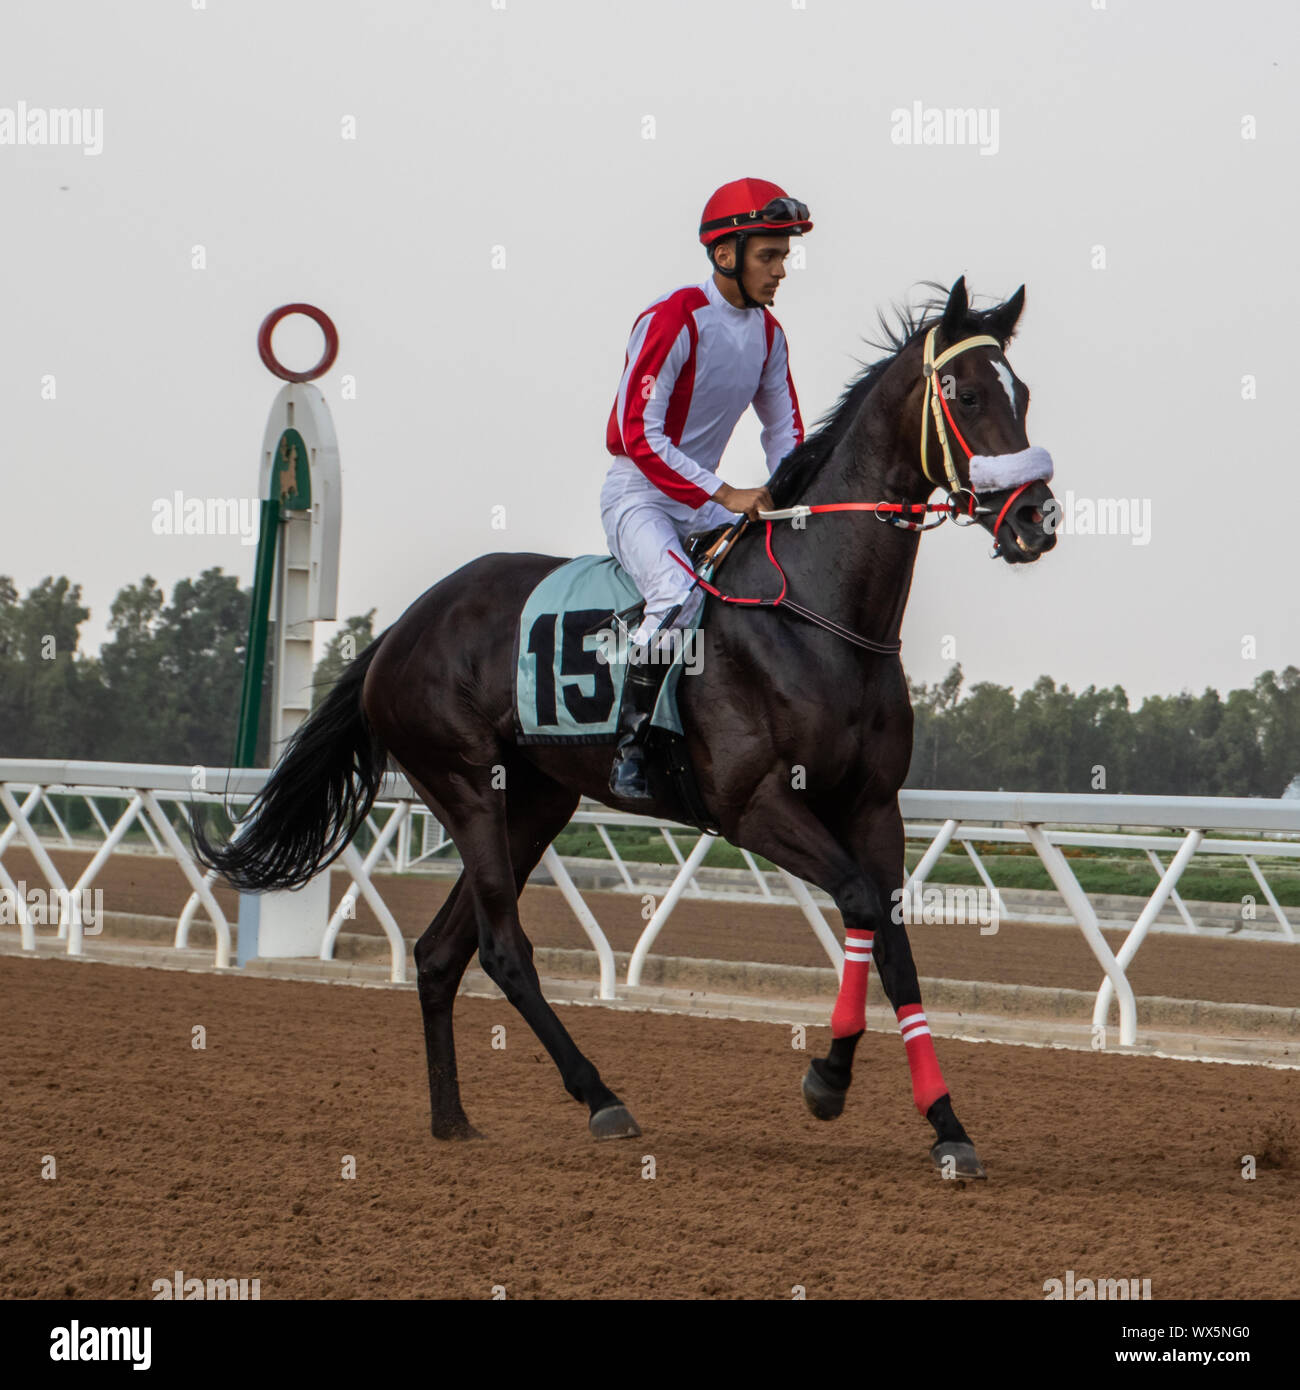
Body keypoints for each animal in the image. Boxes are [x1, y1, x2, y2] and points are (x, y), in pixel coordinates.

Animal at [195, 275, 1058, 1179]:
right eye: (966, 393)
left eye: (1023, 394)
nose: (1038, 516)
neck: (818, 616)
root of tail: (398, 630)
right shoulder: (752, 803)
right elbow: (857, 901)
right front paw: (828, 1078)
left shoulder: (872, 804)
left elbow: (892, 941)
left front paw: (946, 1124)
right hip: (465, 784)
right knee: (501, 948)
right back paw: (600, 1097)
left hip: (536, 800)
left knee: (439, 953)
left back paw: (452, 1118)